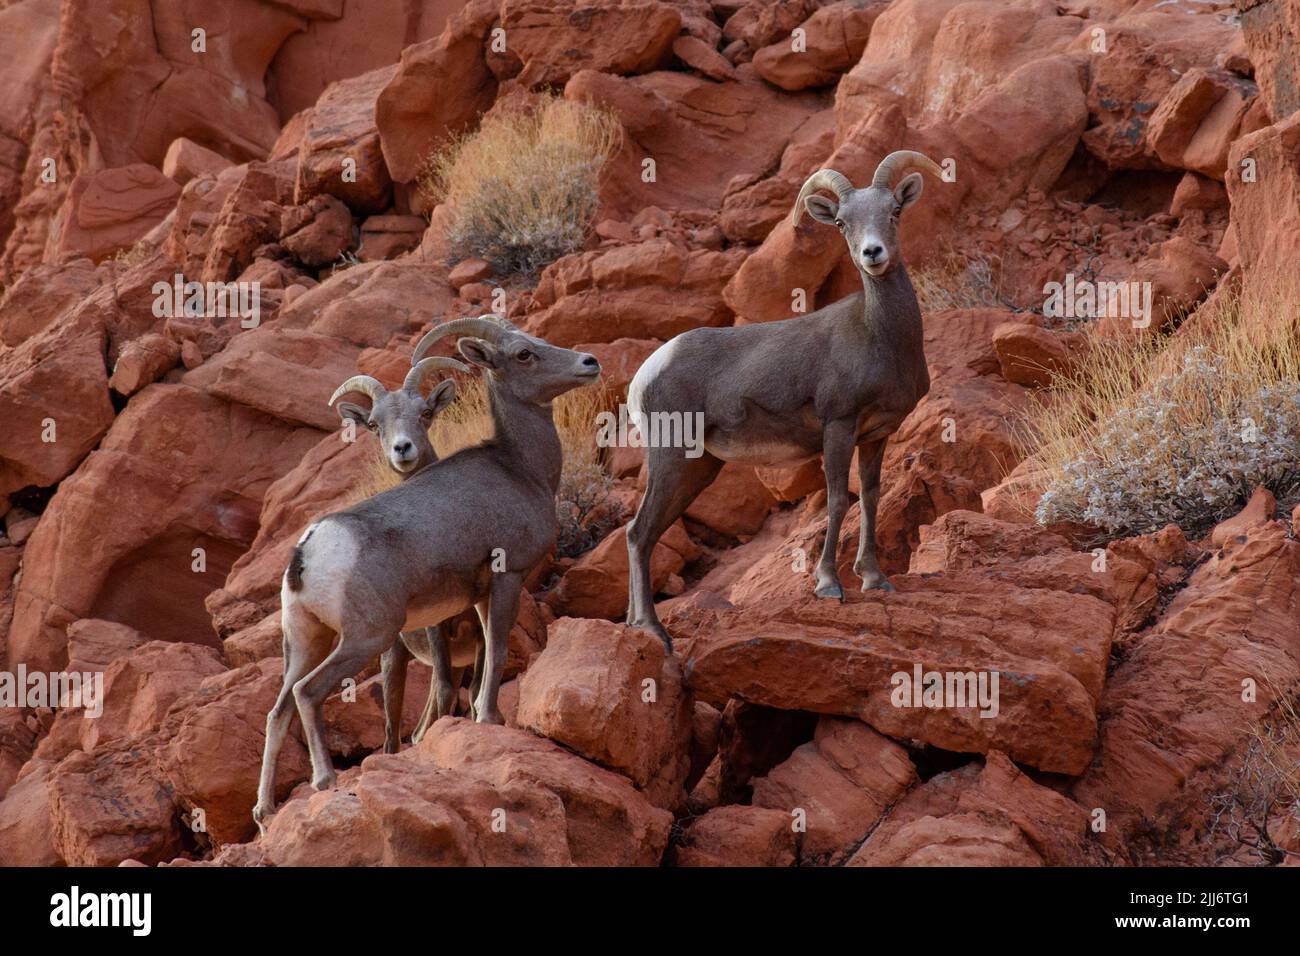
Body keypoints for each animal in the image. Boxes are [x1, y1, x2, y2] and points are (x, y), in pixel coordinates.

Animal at [327, 356, 483, 755]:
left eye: (425, 412)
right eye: (373, 424)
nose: (402, 449)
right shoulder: (436, 629)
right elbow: (447, 692)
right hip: (393, 656)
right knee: (393, 729)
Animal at [625, 150, 946, 648]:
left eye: (893, 211)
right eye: (842, 223)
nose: (873, 254)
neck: (880, 338)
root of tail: (648, 371)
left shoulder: (876, 435)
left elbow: (871, 497)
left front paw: (874, 579)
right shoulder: (838, 427)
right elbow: (838, 501)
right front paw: (829, 585)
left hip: (698, 465)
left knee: (643, 533)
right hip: (671, 456)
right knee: (640, 534)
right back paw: (655, 633)